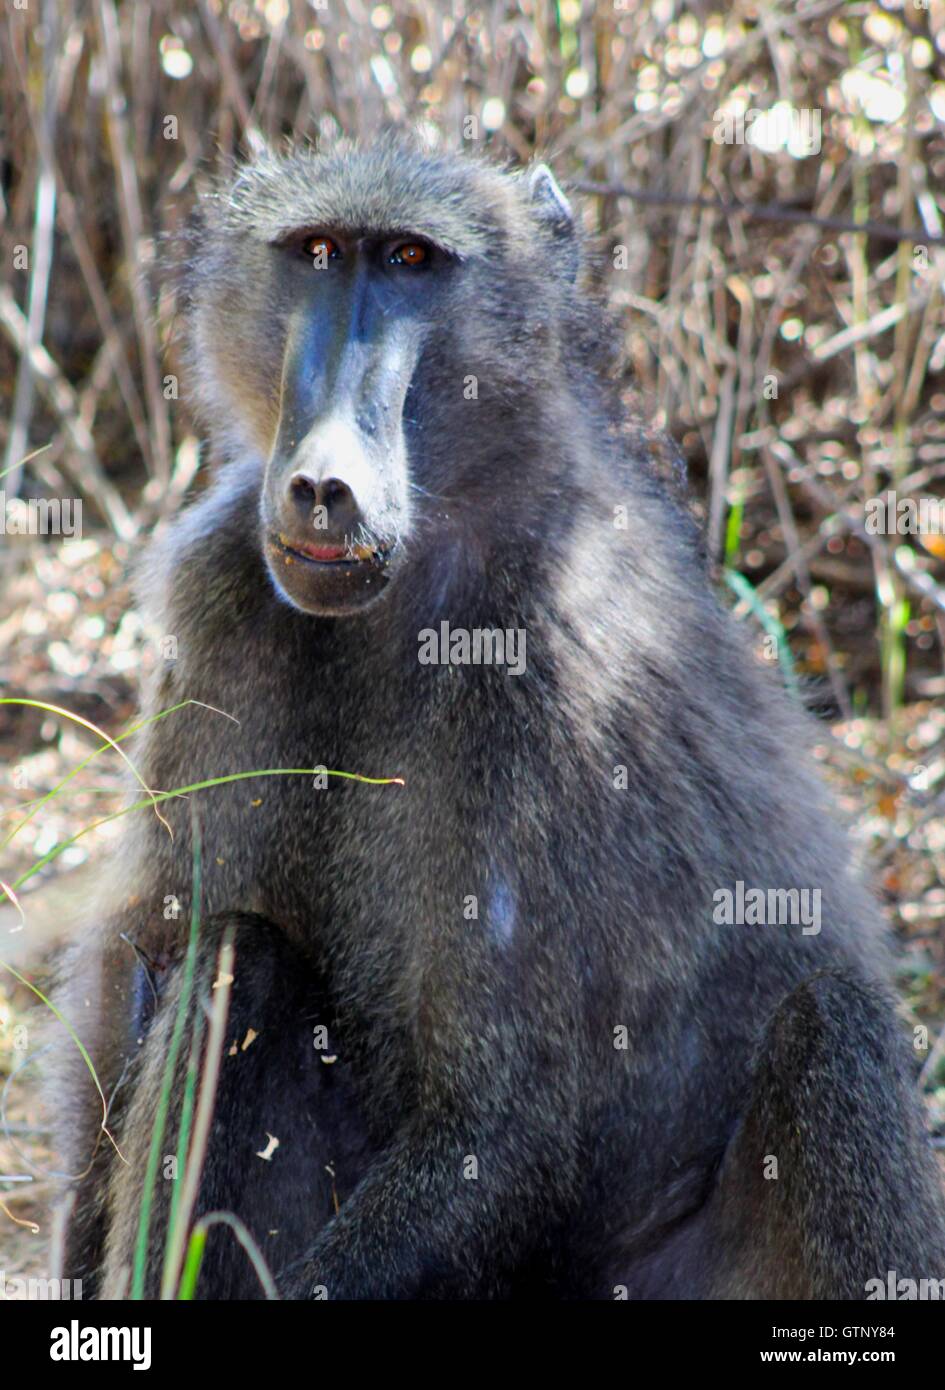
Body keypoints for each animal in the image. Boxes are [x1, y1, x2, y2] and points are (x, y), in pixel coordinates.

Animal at [52, 131, 945, 1300]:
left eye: (412, 261)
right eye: (320, 252)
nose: (322, 487)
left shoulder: (550, 666)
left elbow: (511, 1121)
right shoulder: (223, 589)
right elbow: (144, 960)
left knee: (830, 1026)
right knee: (239, 960)